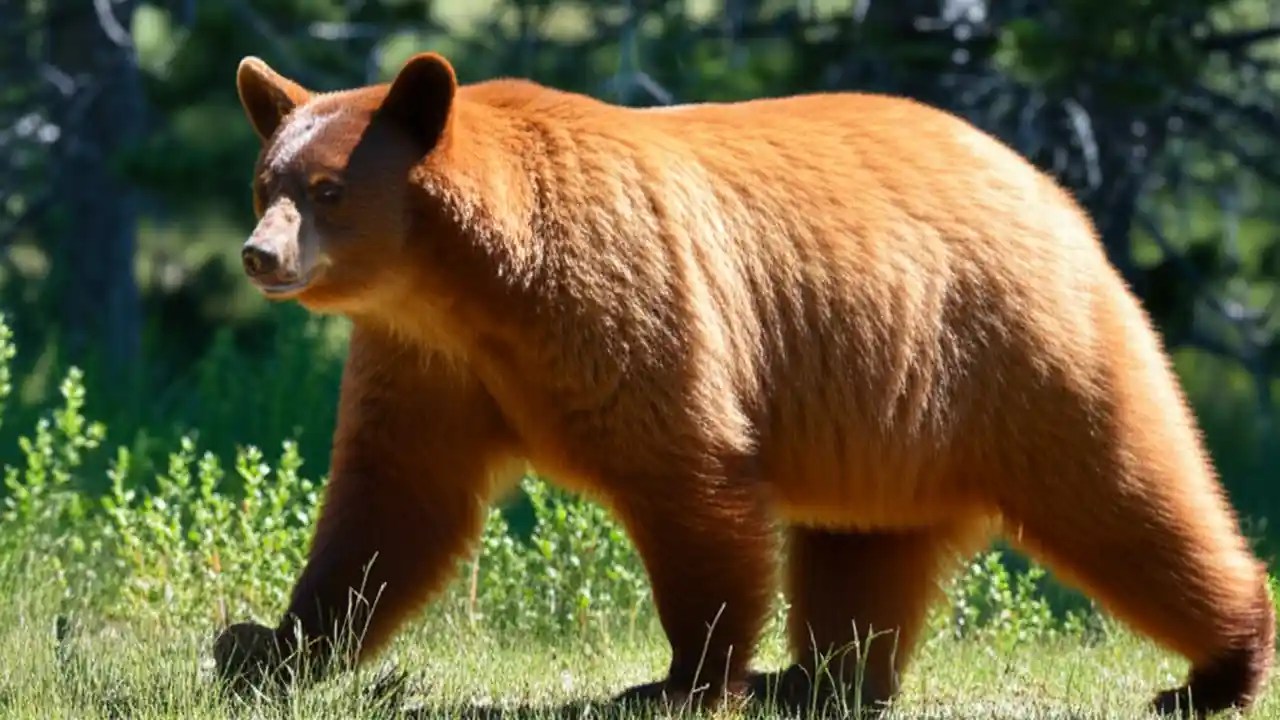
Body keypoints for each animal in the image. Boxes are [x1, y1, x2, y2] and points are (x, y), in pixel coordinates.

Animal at [214, 50, 1275, 718]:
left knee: (1123, 498)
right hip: (889, 412)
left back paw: (1217, 668)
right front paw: (266, 649)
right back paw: (817, 684)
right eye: (267, 181)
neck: (472, 283)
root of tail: (1052, 190)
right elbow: (394, 503)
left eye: (329, 192)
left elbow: (687, 477)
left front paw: (681, 679)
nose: (261, 255)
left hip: (1020, 355)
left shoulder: (622, 302)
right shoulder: (426, 359)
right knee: (864, 548)